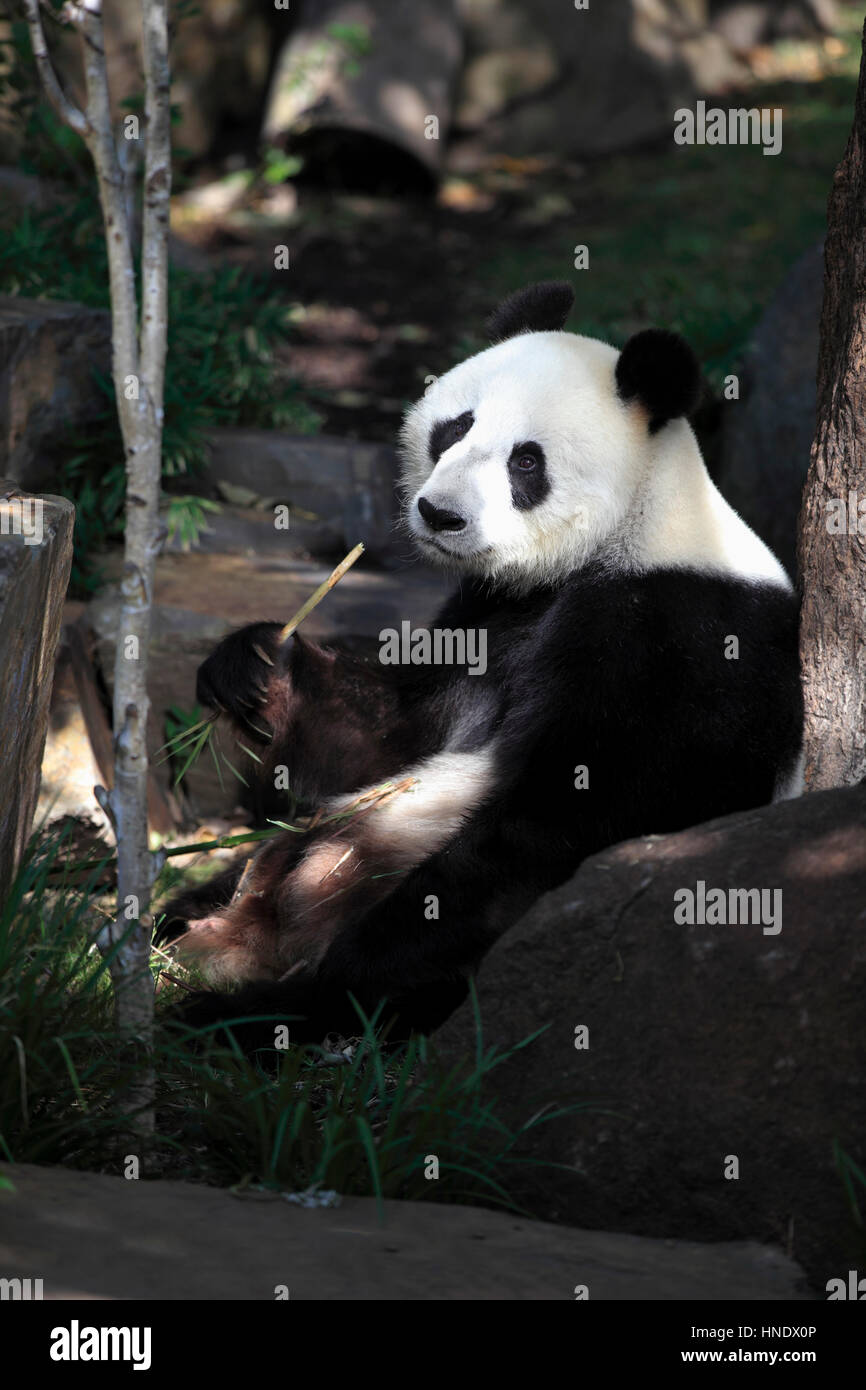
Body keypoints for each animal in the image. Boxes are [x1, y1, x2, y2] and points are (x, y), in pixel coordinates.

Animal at [160, 281, 804, 1049]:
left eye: (526, 462)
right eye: (454, 428)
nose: (439, 514)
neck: (624, 535)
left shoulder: (683, 642)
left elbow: (570, 822)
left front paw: (351, 973)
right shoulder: (489, 615)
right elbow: (383, 741)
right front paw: (258, 667)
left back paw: (246, 1011)